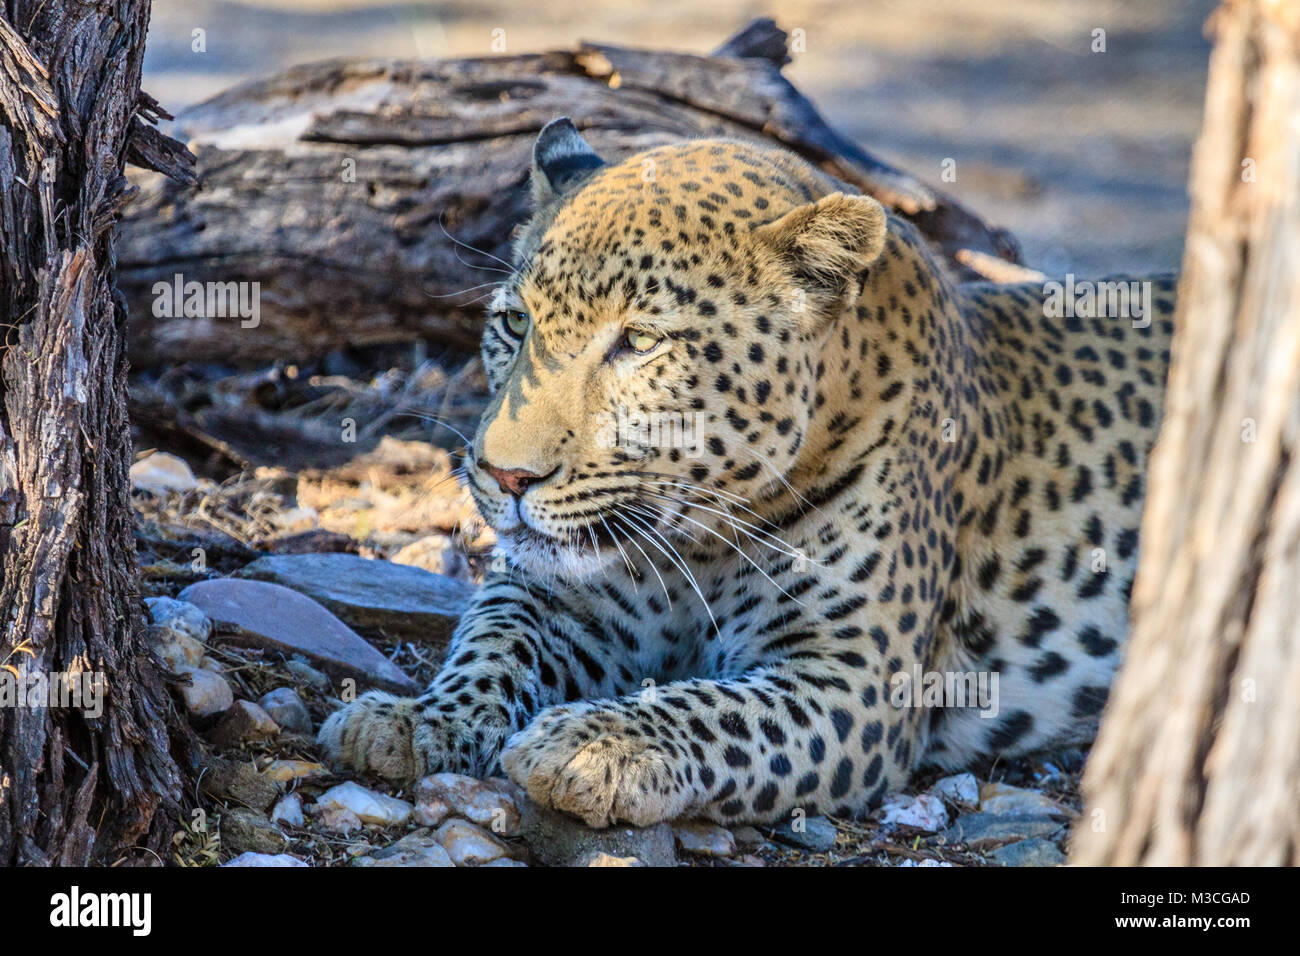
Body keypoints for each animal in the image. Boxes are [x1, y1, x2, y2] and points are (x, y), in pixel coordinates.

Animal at [319, 117, 1177, 829]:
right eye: (512, 322)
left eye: (639, 342)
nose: (503, 477)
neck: (689, 546)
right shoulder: (551, 594)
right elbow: (493, 642)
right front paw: (415, 719)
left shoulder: (853, 679)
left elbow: (714, 710)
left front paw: (598, 743)